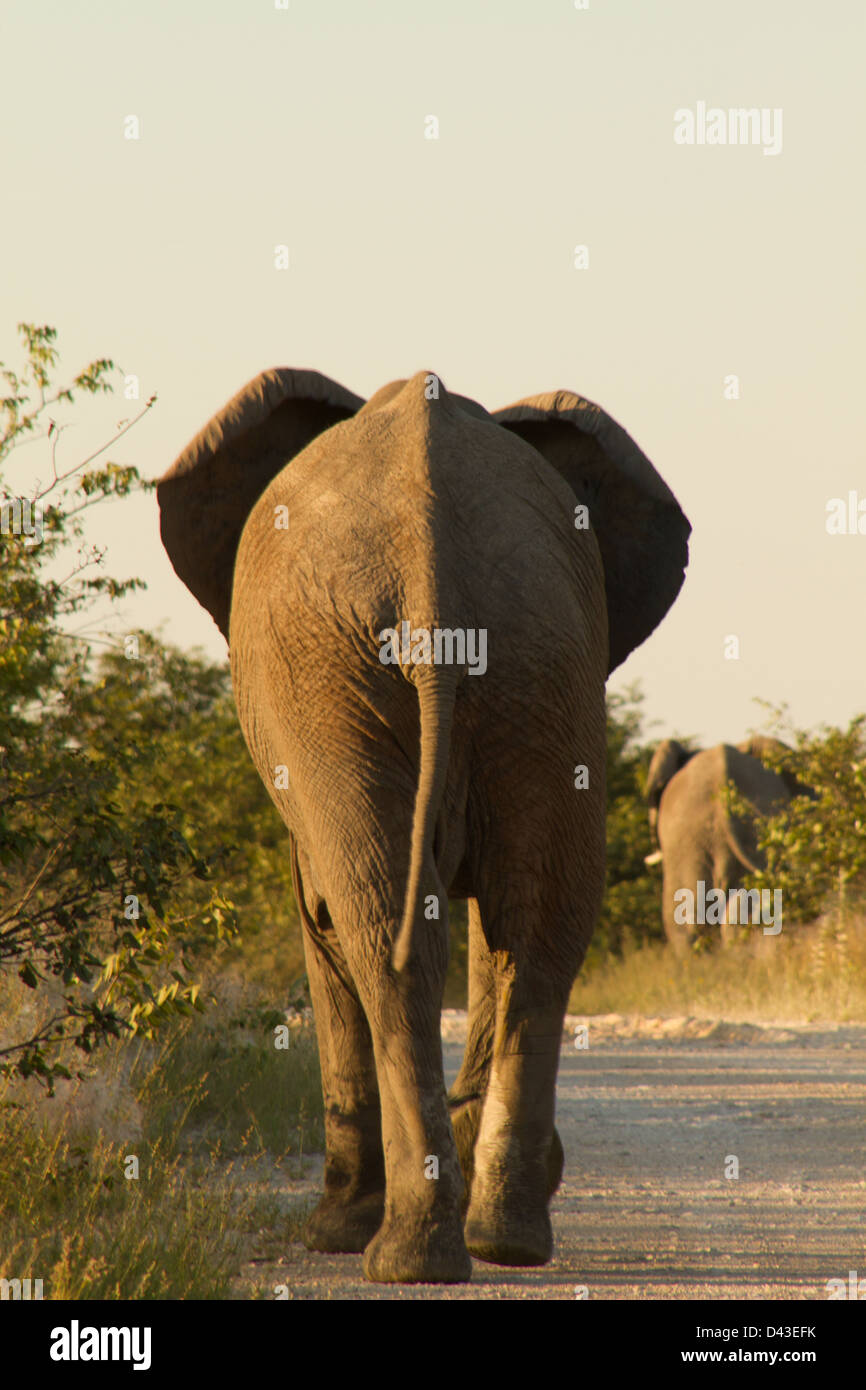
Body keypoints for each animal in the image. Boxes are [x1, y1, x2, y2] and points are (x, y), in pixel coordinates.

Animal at [157, 367, 690, 1283]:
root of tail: (426, 548)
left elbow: (320, 920)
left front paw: (331, 1234)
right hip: (540, 659)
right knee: (535, 925)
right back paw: (504, 1240)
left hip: (336, 675)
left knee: (375, 929)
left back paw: (400, 1254)